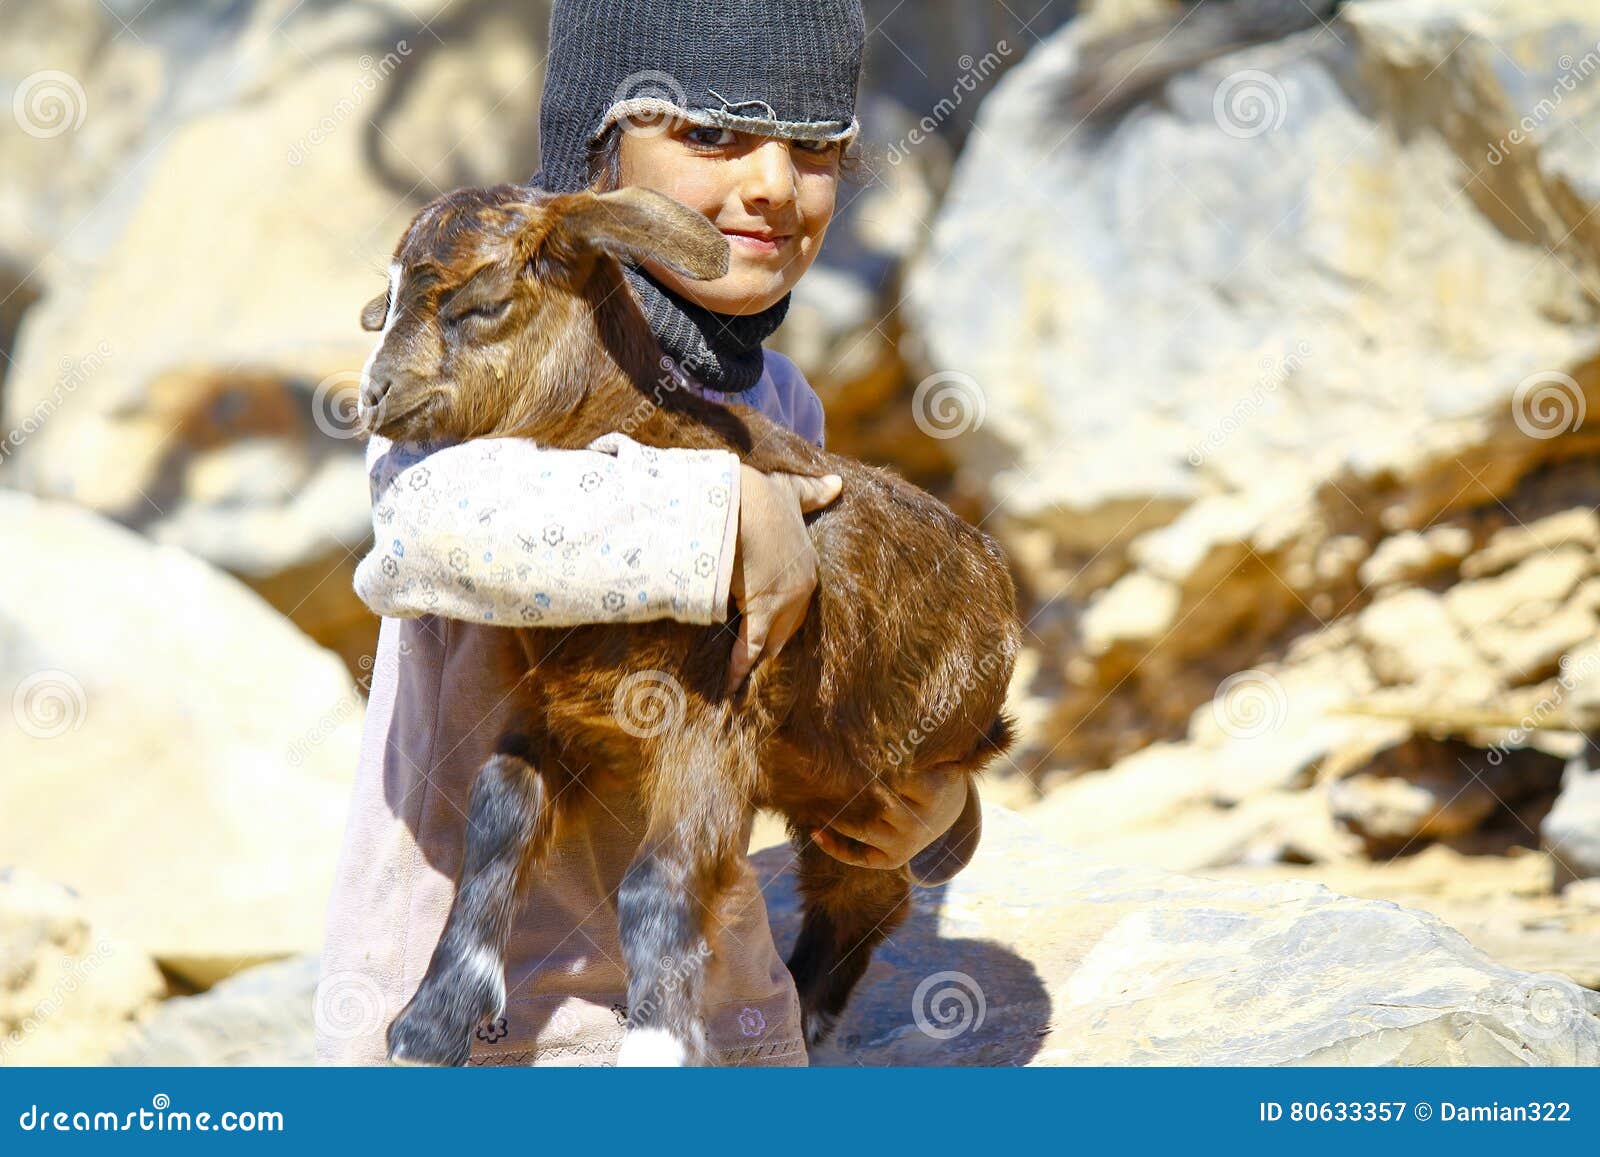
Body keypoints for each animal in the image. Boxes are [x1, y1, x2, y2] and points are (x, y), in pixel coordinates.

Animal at [357, 182, 1022, 1066]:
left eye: (483, 302)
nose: (372, 396)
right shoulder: (564, 709)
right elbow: (498, 814)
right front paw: (430, 1025)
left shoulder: (713, 718)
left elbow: (656, 884)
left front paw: (657, 1042)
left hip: (868, 787)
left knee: (867, 893)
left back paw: (809, 1013)